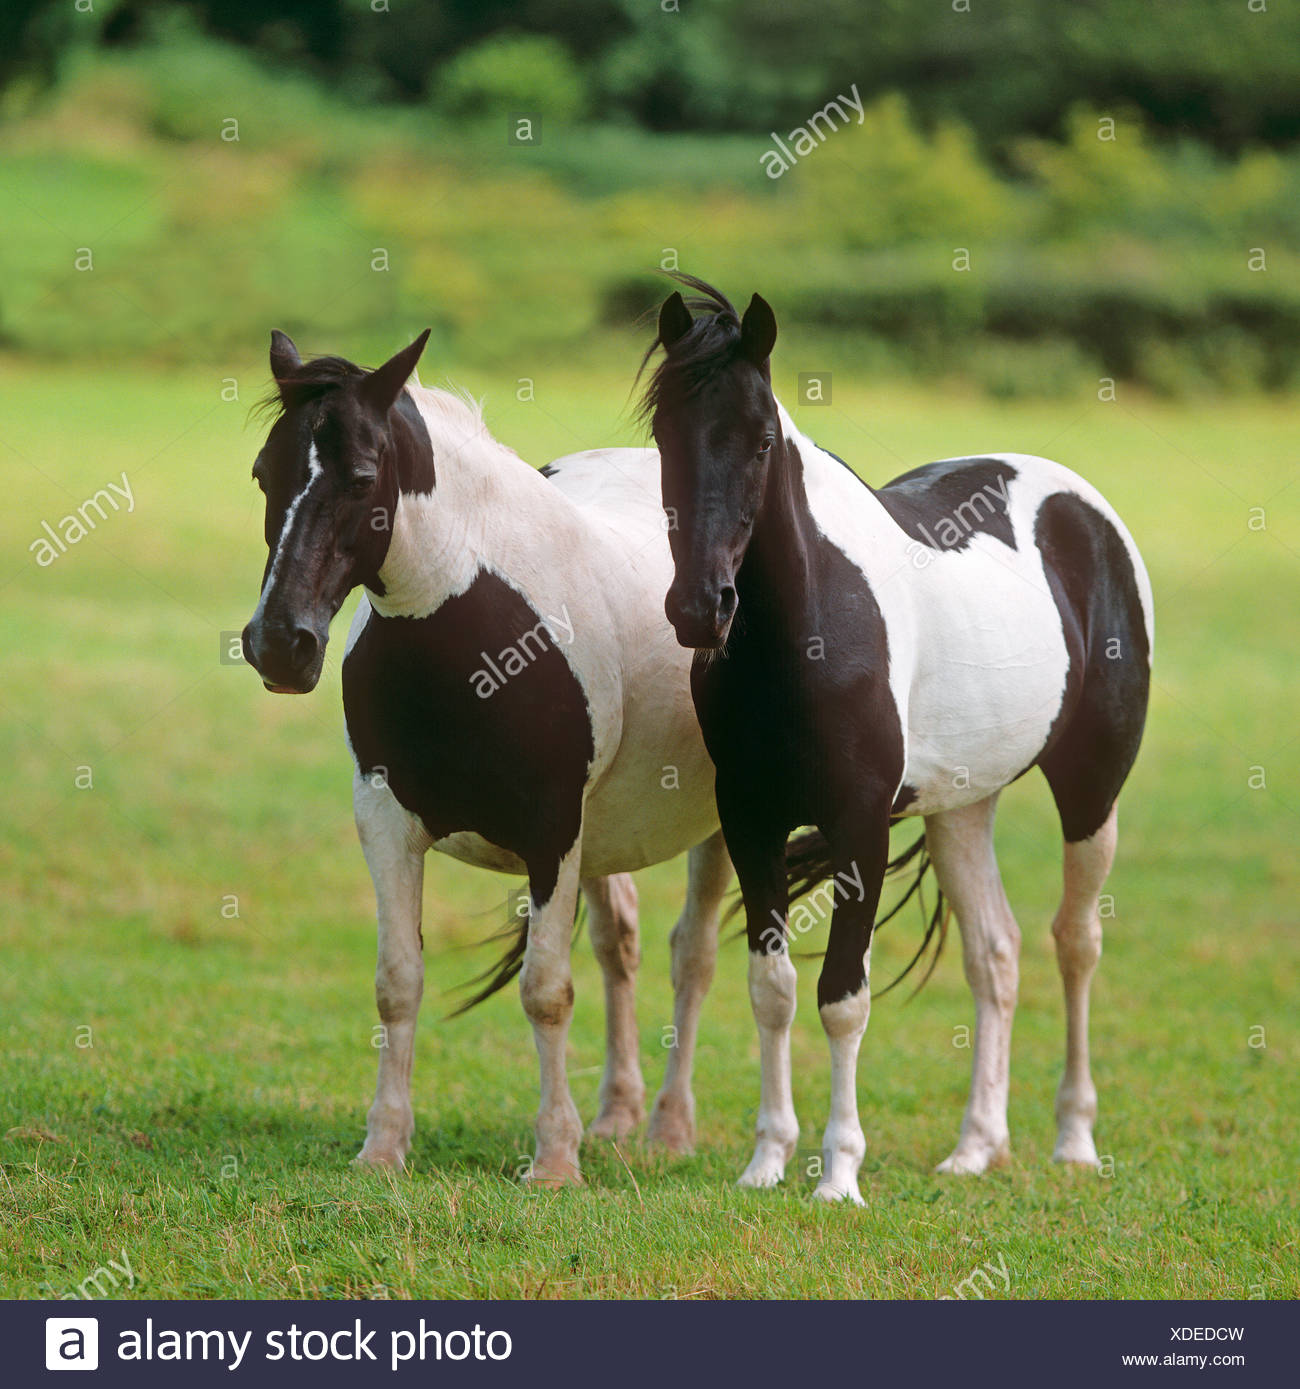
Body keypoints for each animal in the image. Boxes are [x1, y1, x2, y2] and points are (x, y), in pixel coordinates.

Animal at [240, 327, 747, 1183]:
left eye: (363, 478)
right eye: (262, 472)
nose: (280, 643)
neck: (469, 614)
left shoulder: (551, 832)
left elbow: (546, 990)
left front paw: (555, 1160)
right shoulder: (386, 819)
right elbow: (397, 982)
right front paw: (383, 1146)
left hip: (710, 827)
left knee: (695, 957)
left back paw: (670, 1127)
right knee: (621, 947)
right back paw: (618, 1114)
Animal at [640, 276, 1153, 1203]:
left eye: (761, 438)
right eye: (664, 434)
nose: (700, 607)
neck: (807, 625)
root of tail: (1082, 508)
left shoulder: (859, 826)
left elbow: (843, 996)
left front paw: (839, 1175)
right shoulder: (750, 820)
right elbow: (771, 987)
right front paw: (768, 1161)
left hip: (1093, 792)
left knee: (1075, 943)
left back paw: (1074, 1139)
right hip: (961, 808)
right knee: (996, 954)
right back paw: (977, 1145)